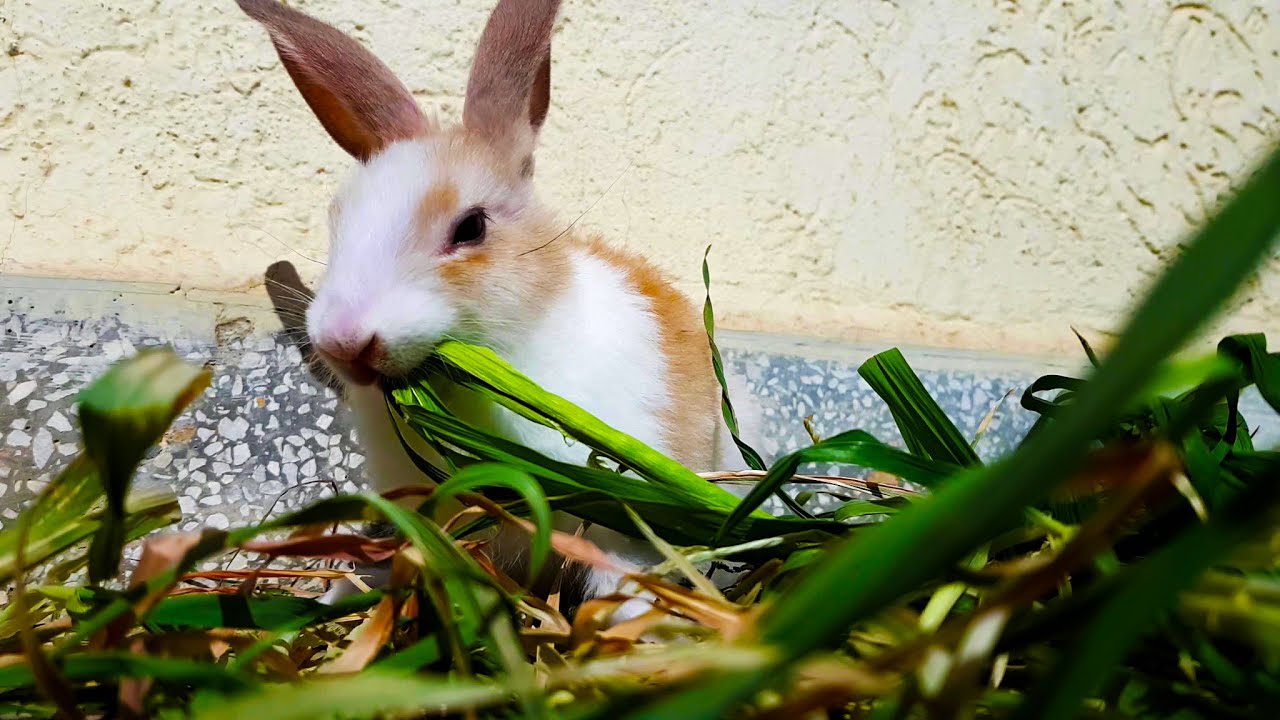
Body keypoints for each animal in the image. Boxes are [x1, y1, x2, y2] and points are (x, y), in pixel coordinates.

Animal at [235, 0, 763, 622]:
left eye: (470, 227)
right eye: (337, 219)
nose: (344, 340)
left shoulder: (625, 522)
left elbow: (624, 578)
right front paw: (343, 592)